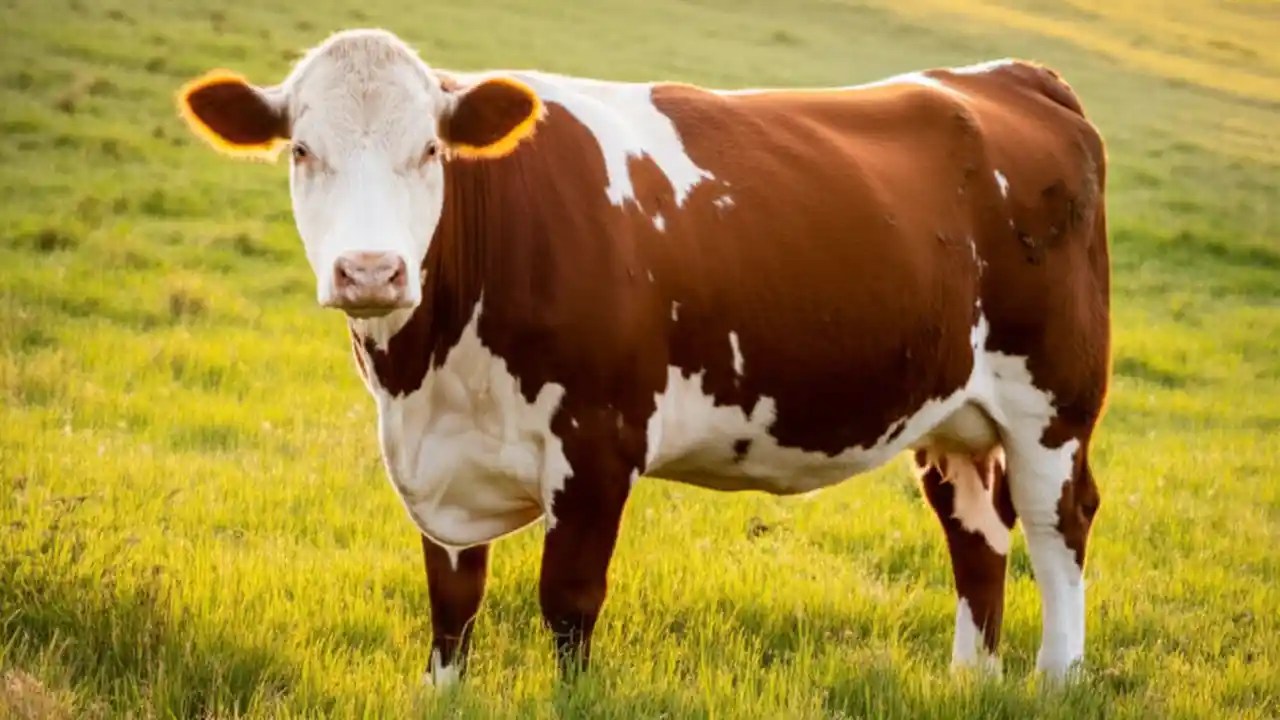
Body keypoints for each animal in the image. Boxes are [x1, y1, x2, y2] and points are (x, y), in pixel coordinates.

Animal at [176, 28, 1109, 687]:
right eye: (303, 151)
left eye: (430, 152)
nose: (370, 271)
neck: (426, 378)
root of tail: (1007, 75)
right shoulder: (441, 466)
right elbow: (451, 607)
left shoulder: (597, 443)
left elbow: (567, 604)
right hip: (953, 416)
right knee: (976, 533)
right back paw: (969, 680)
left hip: (1054, 404)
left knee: (1059, 524)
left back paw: (1057, 679)